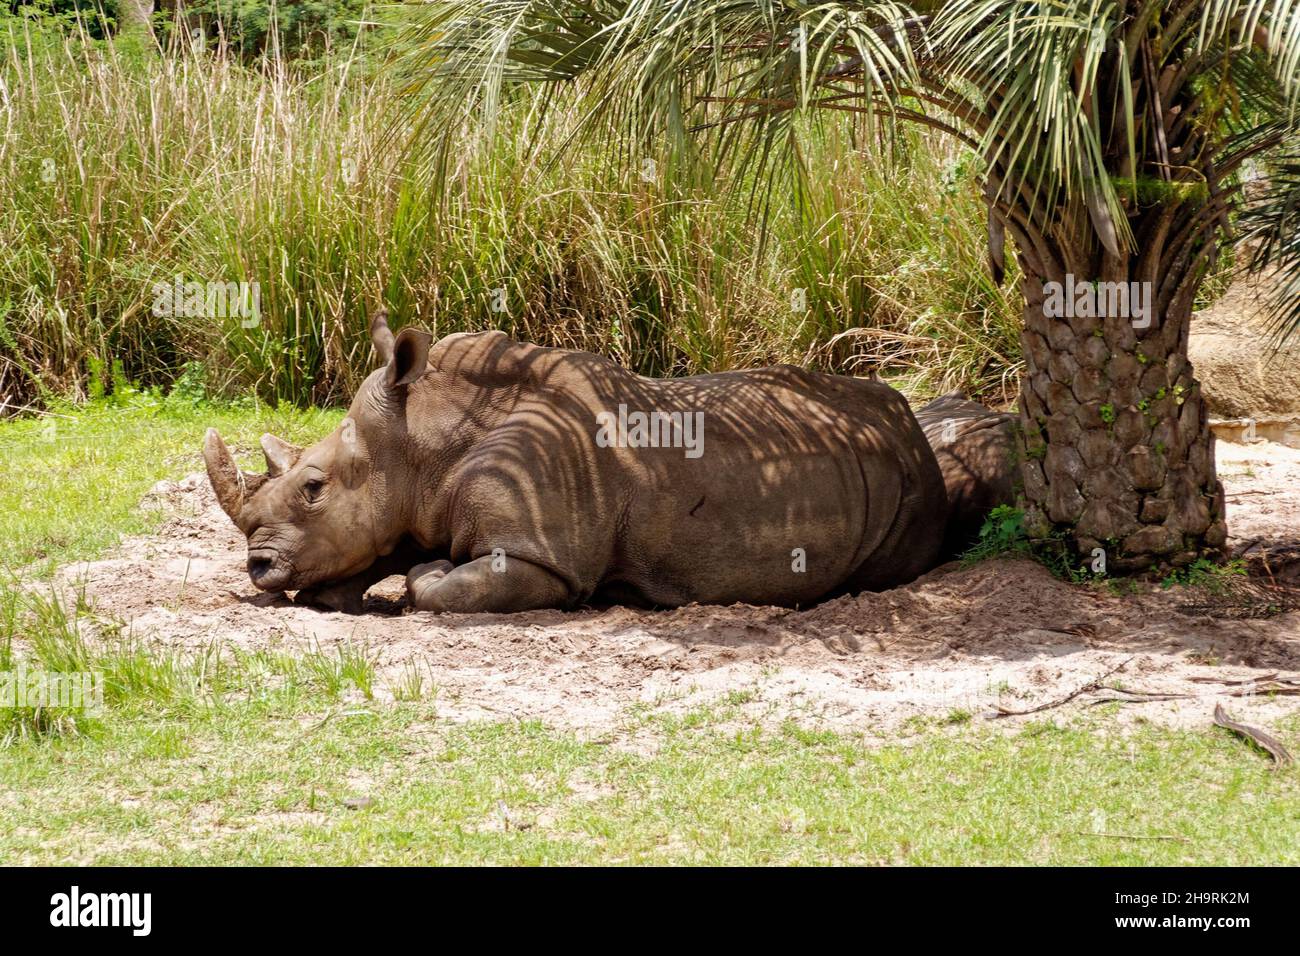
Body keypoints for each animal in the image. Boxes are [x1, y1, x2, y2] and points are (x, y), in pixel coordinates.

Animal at [202, 313, 950, 613]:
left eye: (314, 487)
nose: (257, 568)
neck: (422, 440)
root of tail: (907, 418)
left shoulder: (542, 553)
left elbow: (443, 589)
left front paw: (426, 576)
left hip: (910, 480)